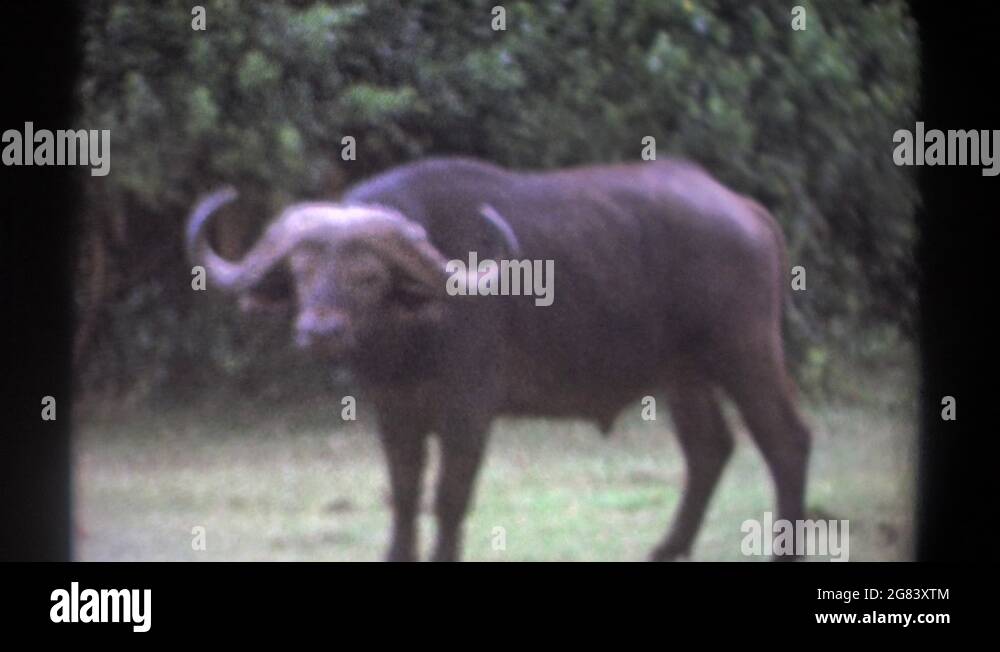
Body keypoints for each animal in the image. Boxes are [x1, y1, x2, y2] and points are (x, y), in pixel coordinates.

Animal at [187, 156, 811, 561]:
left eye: (368, 276)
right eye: (302, 271)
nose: (320, 330)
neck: (413, 336)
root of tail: (747, 210)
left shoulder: (469, 410)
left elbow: (448, 498)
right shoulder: (393, 410)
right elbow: (405, 495)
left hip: (746, 351)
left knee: (786, 440)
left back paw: (783, 550)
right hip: (681, 373)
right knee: (710, 448)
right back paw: (666, 548)